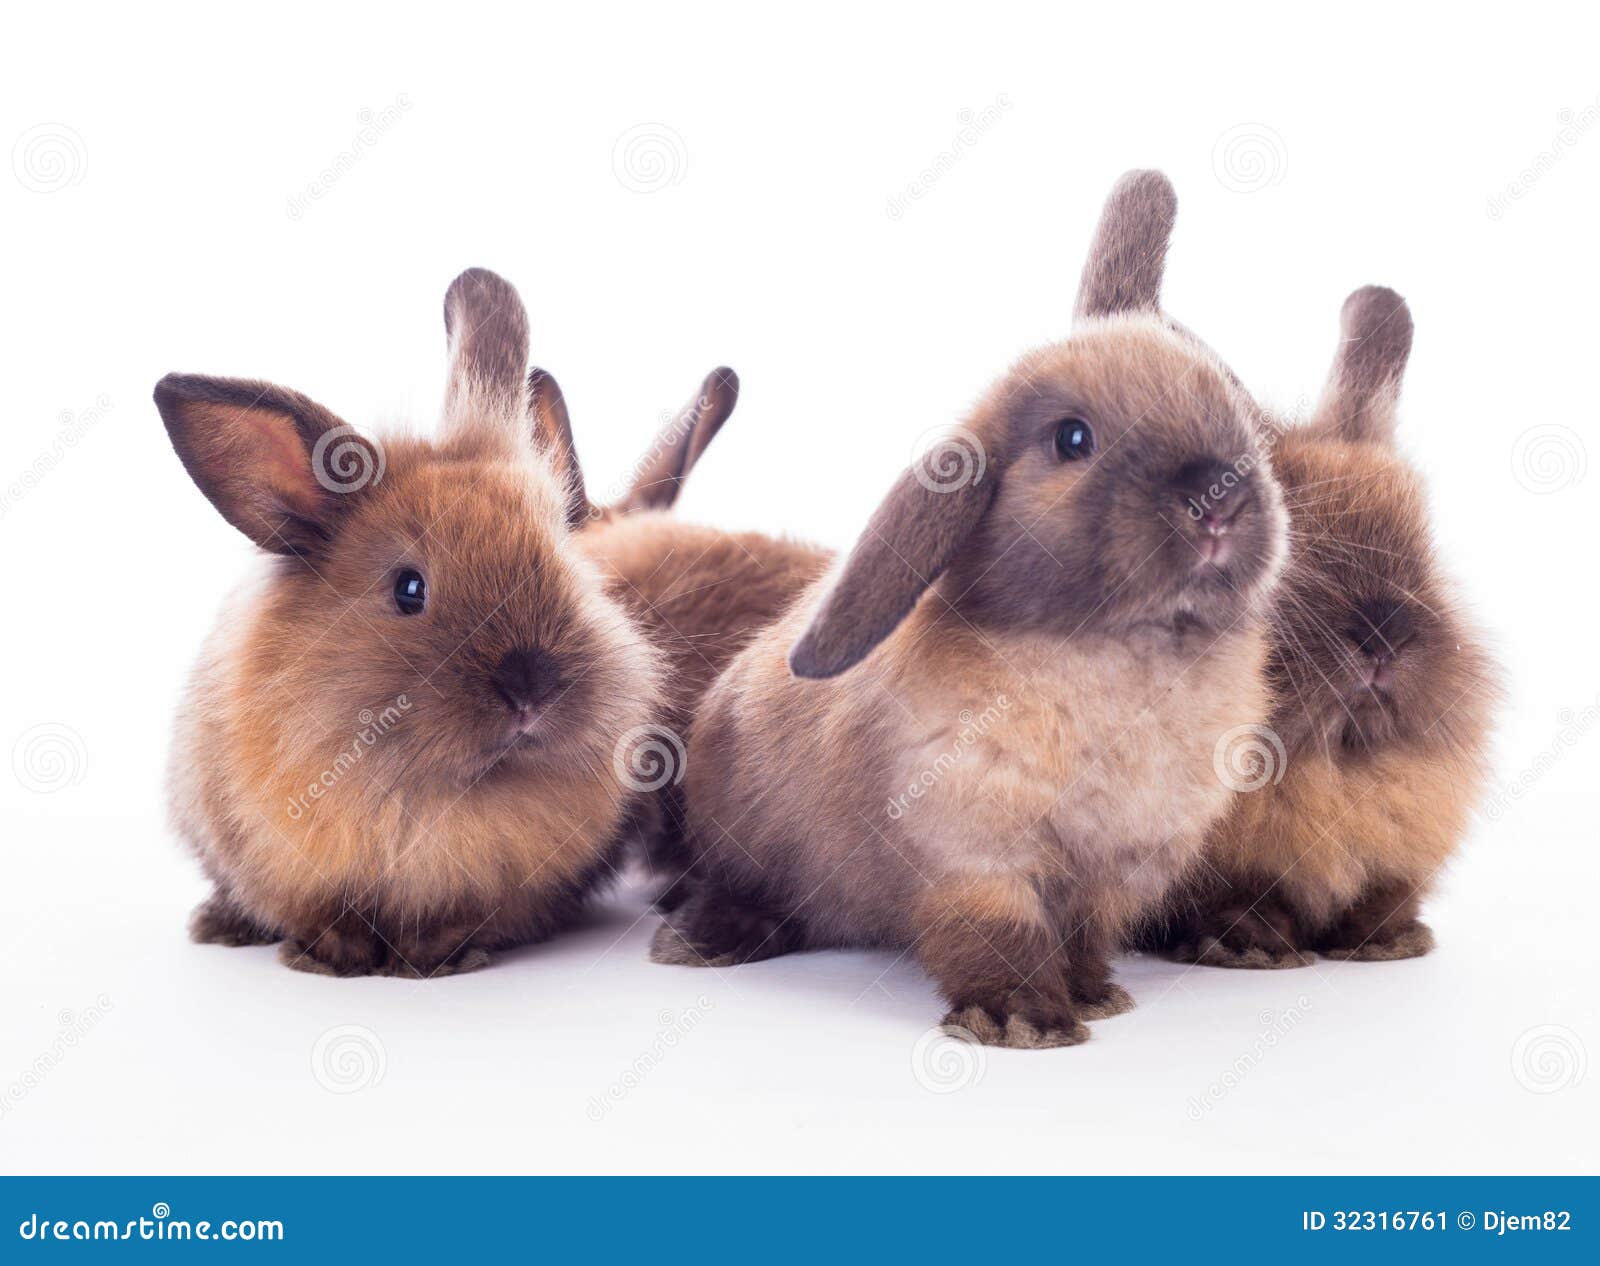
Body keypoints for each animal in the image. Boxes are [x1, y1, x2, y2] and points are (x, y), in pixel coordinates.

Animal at [158, 268, 666, 977]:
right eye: (409, 589)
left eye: (565, 562)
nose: (529, 689)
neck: (426, 799)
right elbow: (318, 913)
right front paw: (332, 958)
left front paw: (432, 959)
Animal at [649, 171, 1291, 1048]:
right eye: (1073, 439)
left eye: (1227, 396)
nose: (1218, 498)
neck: (1128, 653)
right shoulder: (974, 857)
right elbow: (998, 937)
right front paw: (1022, 1023)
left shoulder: (1111, 873)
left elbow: (1081, 936)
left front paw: (1093, 996)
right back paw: (700, 940)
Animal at [1145, 286, 1498, 968]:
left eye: (1425, 549)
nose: (1385, 637)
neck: (1332, 762)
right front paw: (1250, 946)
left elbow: (1382, 900)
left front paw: (1388, 941)